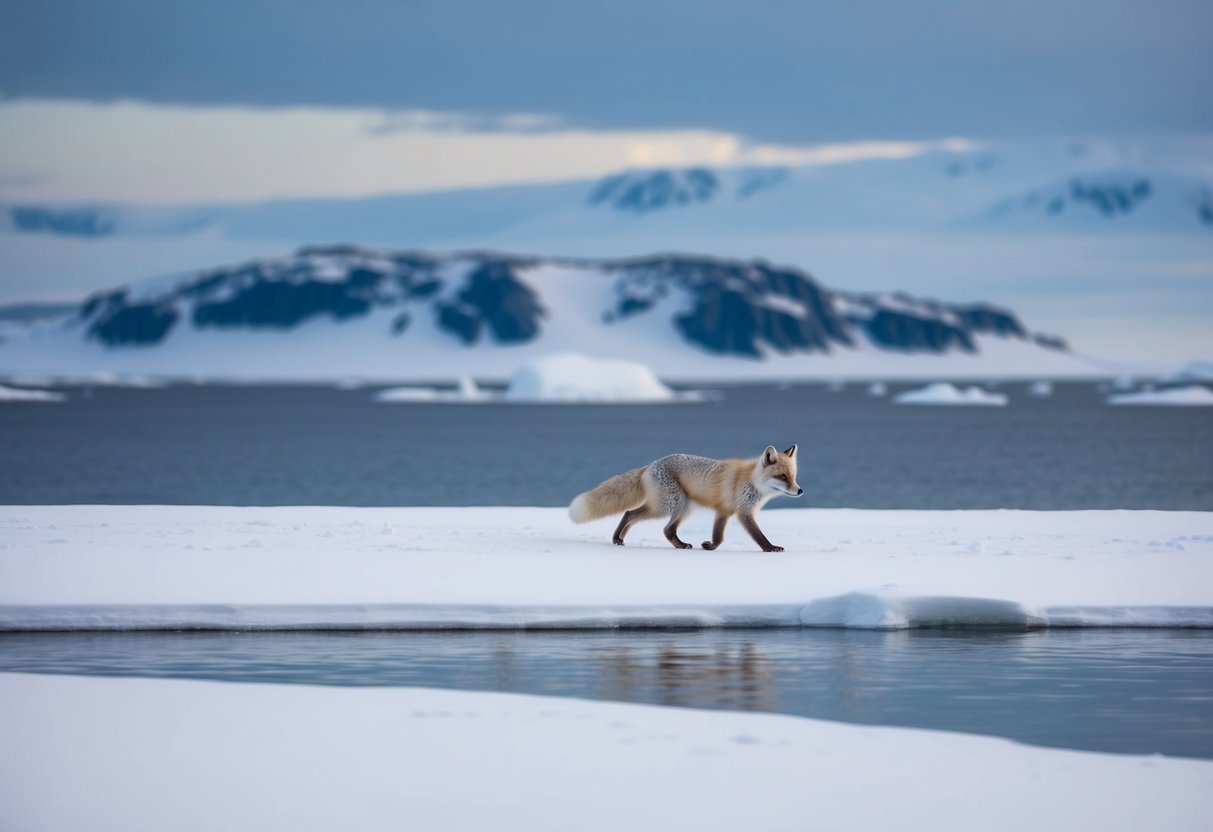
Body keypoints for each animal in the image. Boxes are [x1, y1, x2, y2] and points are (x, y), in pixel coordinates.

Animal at [568, 445, 803, 552]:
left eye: (793, 476)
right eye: (782, 477)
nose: (800, 491)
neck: (750, 480)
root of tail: (651, 464)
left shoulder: (724, 511)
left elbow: (719, 537)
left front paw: (709, 546)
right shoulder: (743, 513)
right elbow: (758, 536)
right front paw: (771, 548)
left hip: (683, 507)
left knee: (666, 530)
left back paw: (678, 545)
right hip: (667, 506)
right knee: (630, 513)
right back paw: (617, 538)